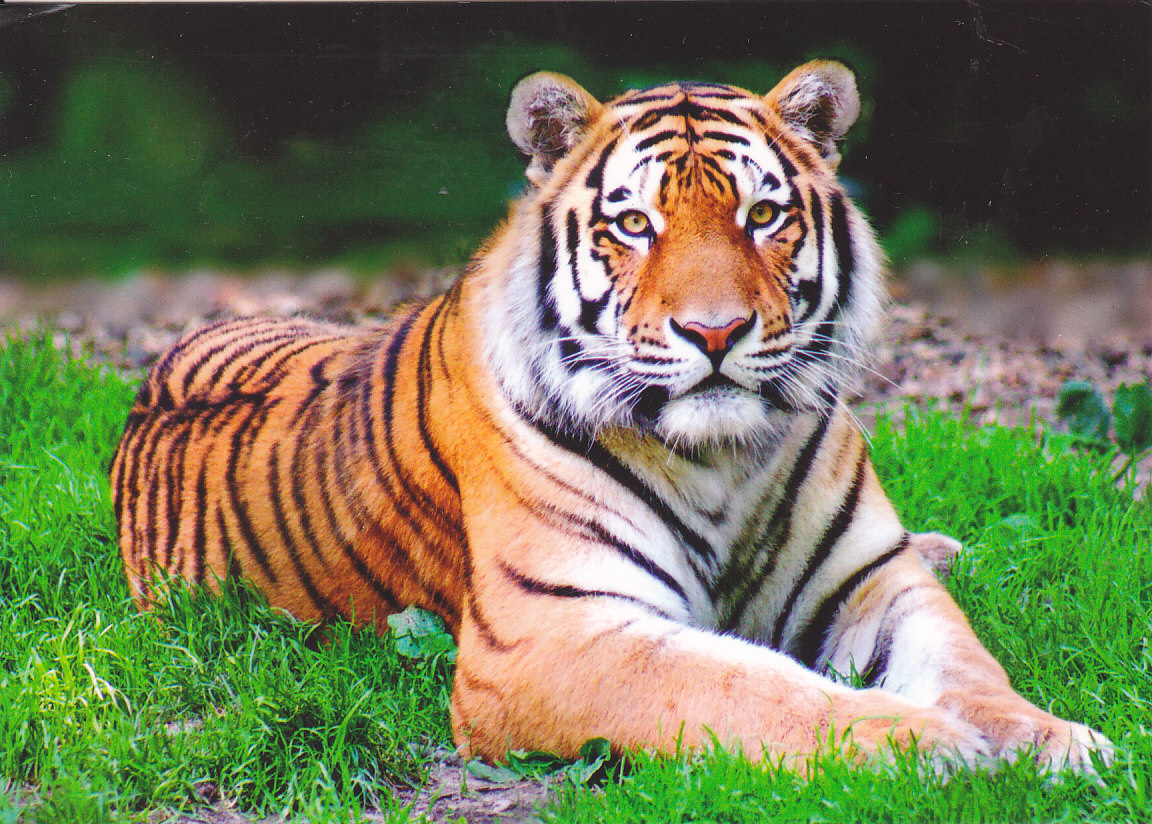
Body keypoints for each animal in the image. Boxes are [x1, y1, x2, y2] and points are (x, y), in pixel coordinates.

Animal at [111, 61, 1111, 773]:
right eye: (634, 225)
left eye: (762, 215)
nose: (715, 331)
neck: (721, 458)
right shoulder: (553, 639)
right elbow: (748, 689)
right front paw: (923, 743)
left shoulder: (873, 579)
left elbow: (970, 666)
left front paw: (1056, 741)